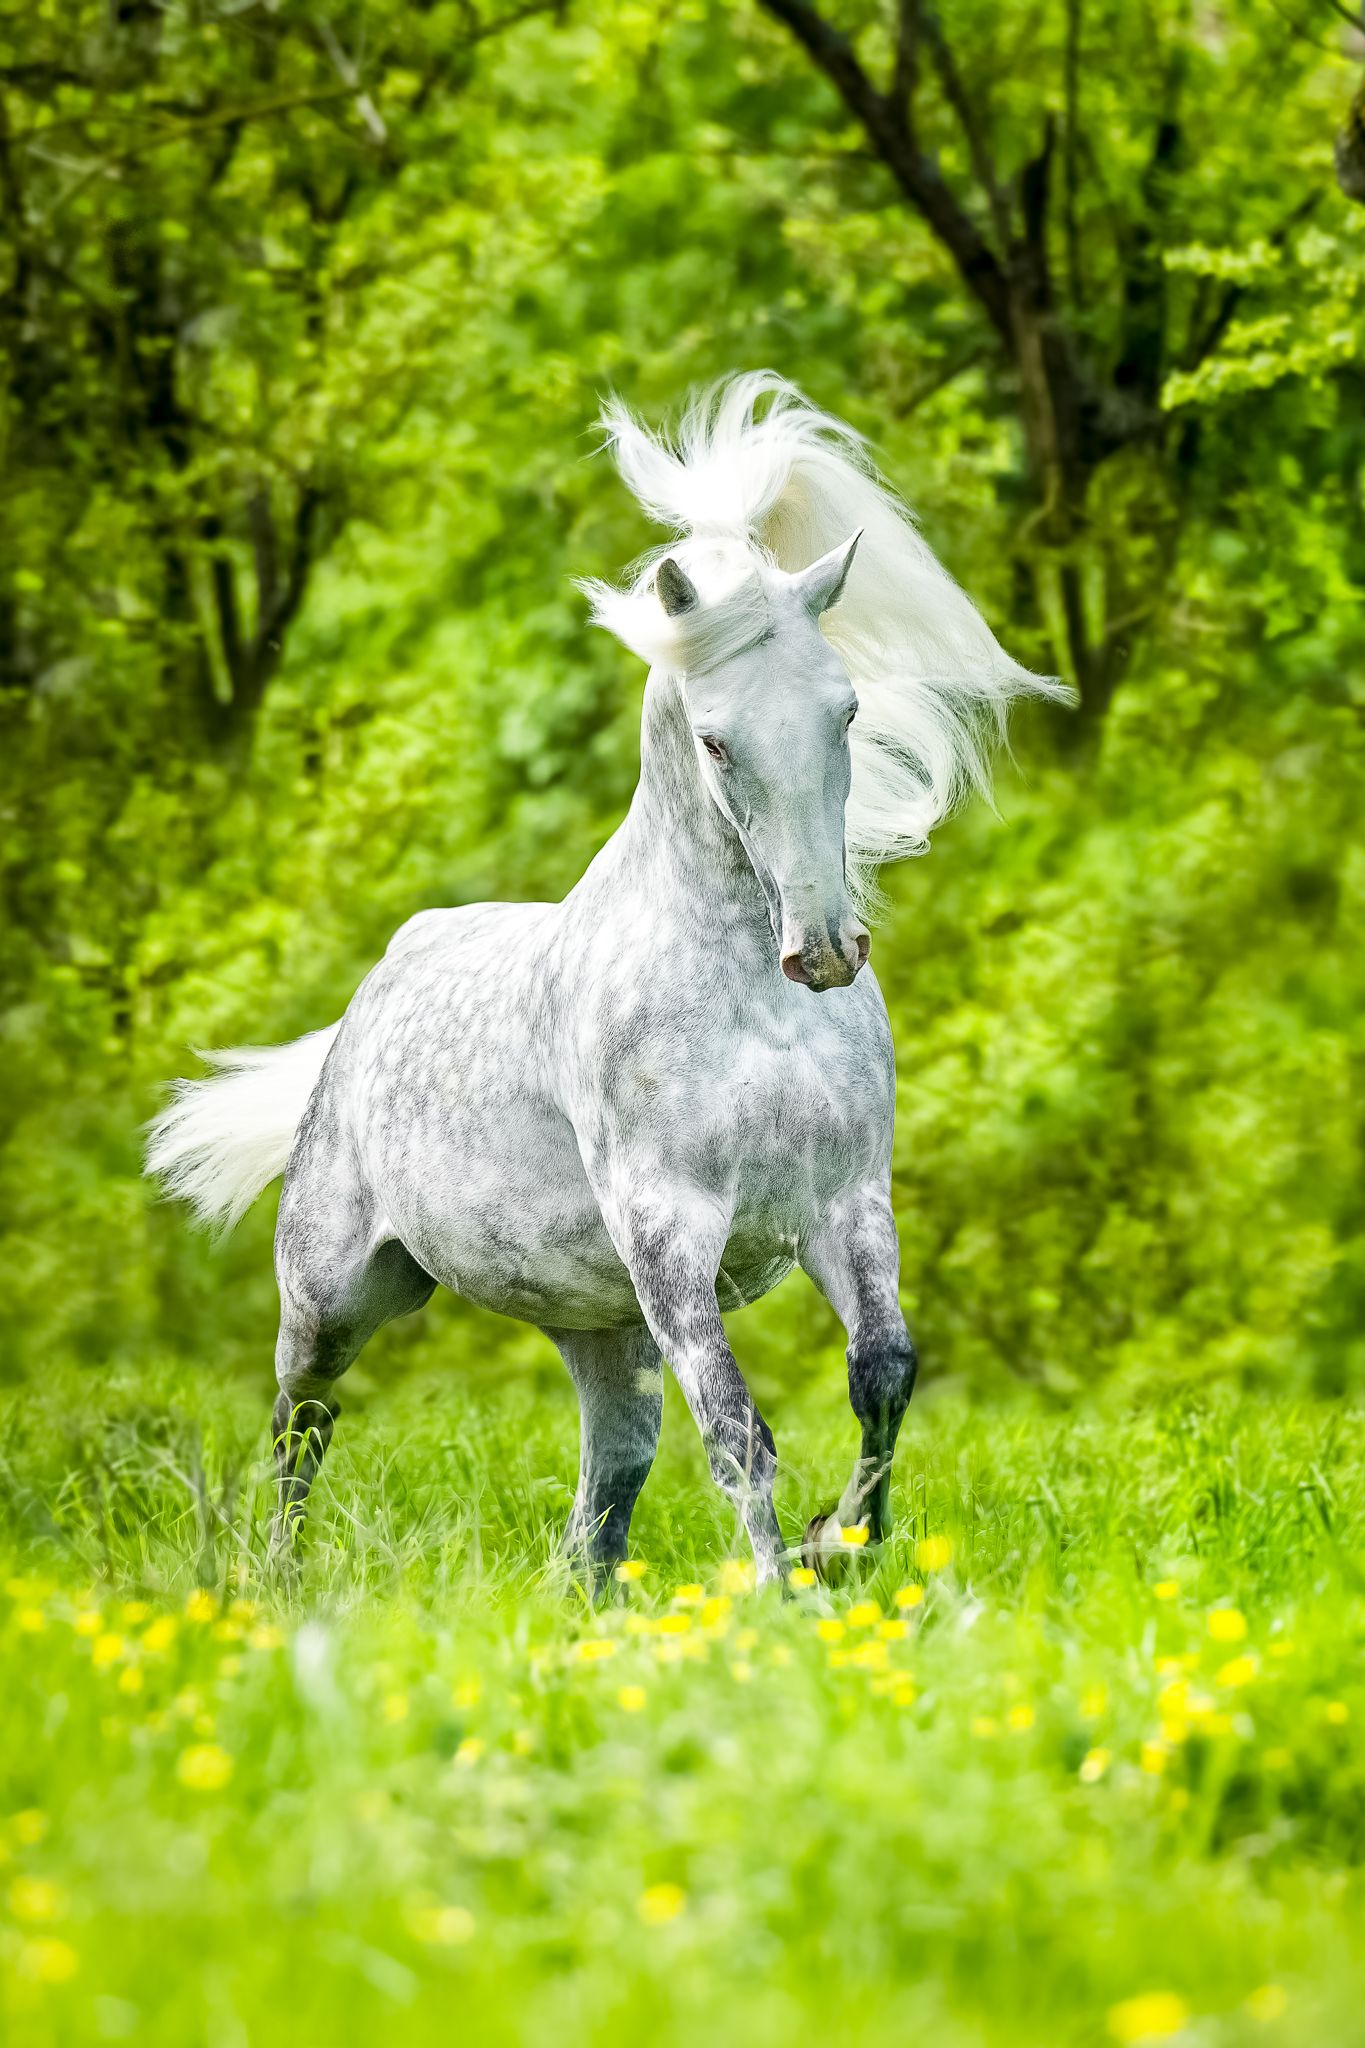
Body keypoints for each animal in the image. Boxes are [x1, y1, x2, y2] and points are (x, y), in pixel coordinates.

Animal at [147, 372, 1064, 1583]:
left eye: (847, 711)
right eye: (716, 740)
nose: (822, 950)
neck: (751, 1003)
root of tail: (375, 990)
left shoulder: (847, 1205)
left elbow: (884, 1376)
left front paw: (844, 1545)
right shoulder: (670, 1227)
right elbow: (737, 1426)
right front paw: (782, 1585)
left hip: (599, 1324)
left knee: (604, 1488)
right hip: (336, 1290)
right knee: (303, 1419)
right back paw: (277, 1576)